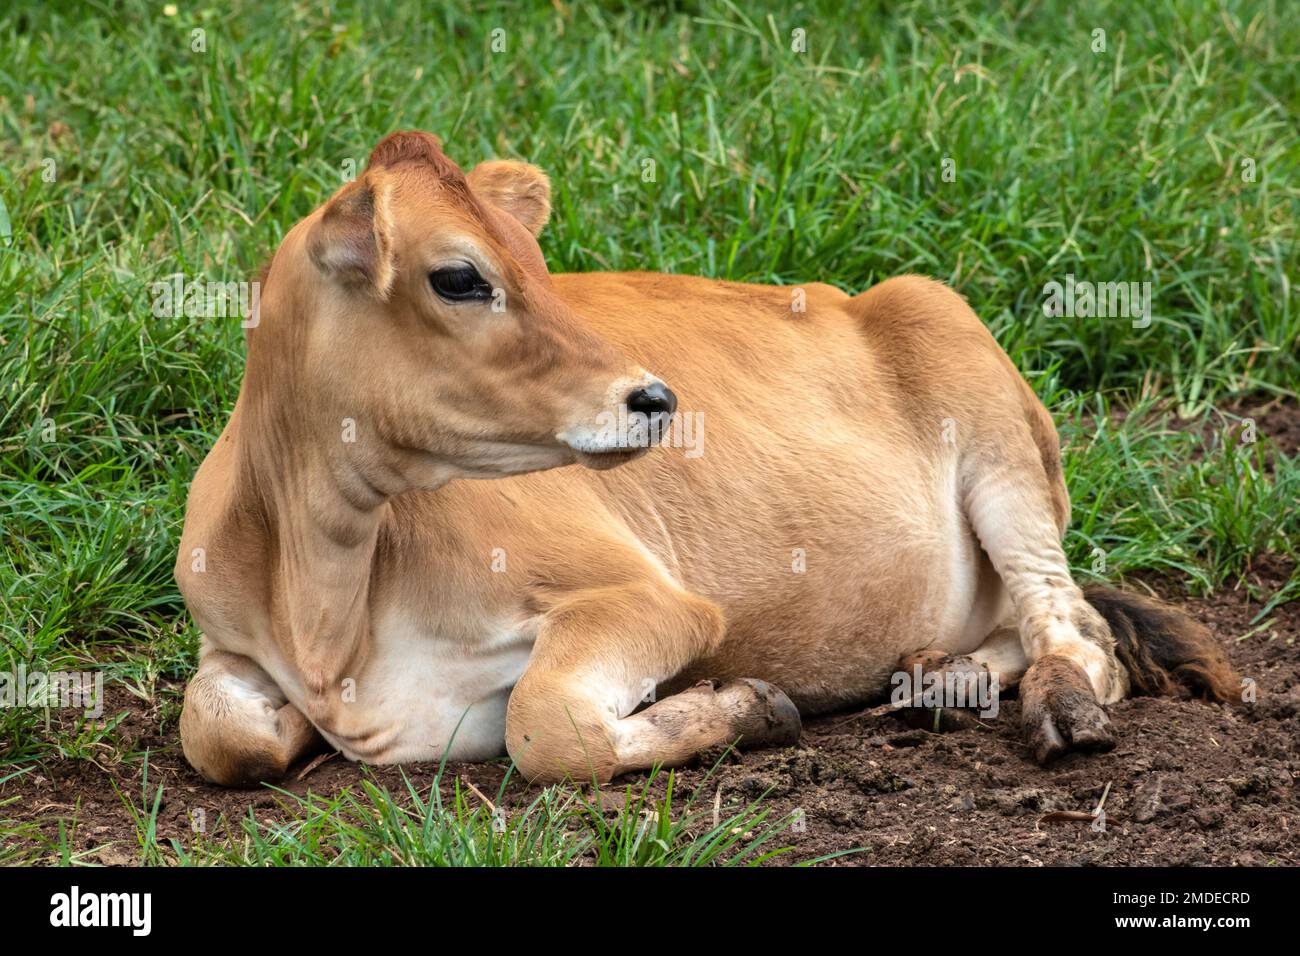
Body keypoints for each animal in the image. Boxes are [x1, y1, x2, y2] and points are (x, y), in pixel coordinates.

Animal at [175, 130, 1238, 786]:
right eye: (459, 276)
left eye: (541, 261)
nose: (654, 398)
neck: (327, 603)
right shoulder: (226, 637)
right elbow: (213, 731)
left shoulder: (649, 598)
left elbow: (546, 724)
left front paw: (744, 707)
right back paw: (945, 677)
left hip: (993, 429)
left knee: (1072, 622)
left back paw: (1054, 706)